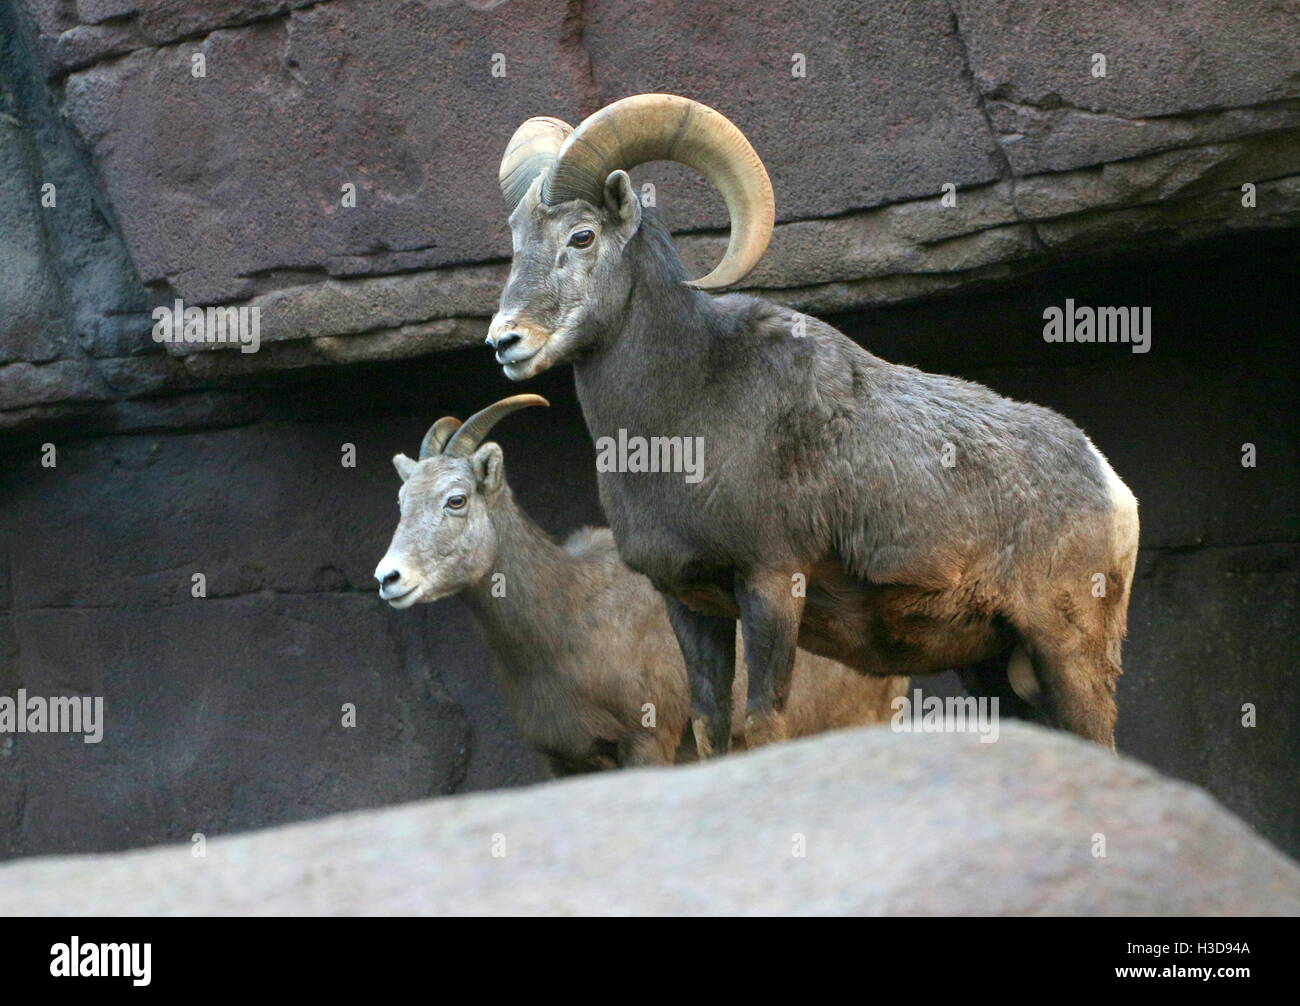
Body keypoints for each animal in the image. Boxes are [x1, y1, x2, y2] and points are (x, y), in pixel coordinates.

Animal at [373, 395, 909, 776]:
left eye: (456, 499)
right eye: (401, 501)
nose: (389, 579)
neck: (567, 621)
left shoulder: (646, 742)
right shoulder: (561, 760)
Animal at [484, 93, 1140, 755]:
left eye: (582, 236)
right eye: (517, 238)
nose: (504, 343)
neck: (681, 421)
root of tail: (1109, 483)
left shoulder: (772, 583)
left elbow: (763, 724)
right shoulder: (690, 606)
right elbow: (711, 730)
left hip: (1069, 653)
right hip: (992, 668)